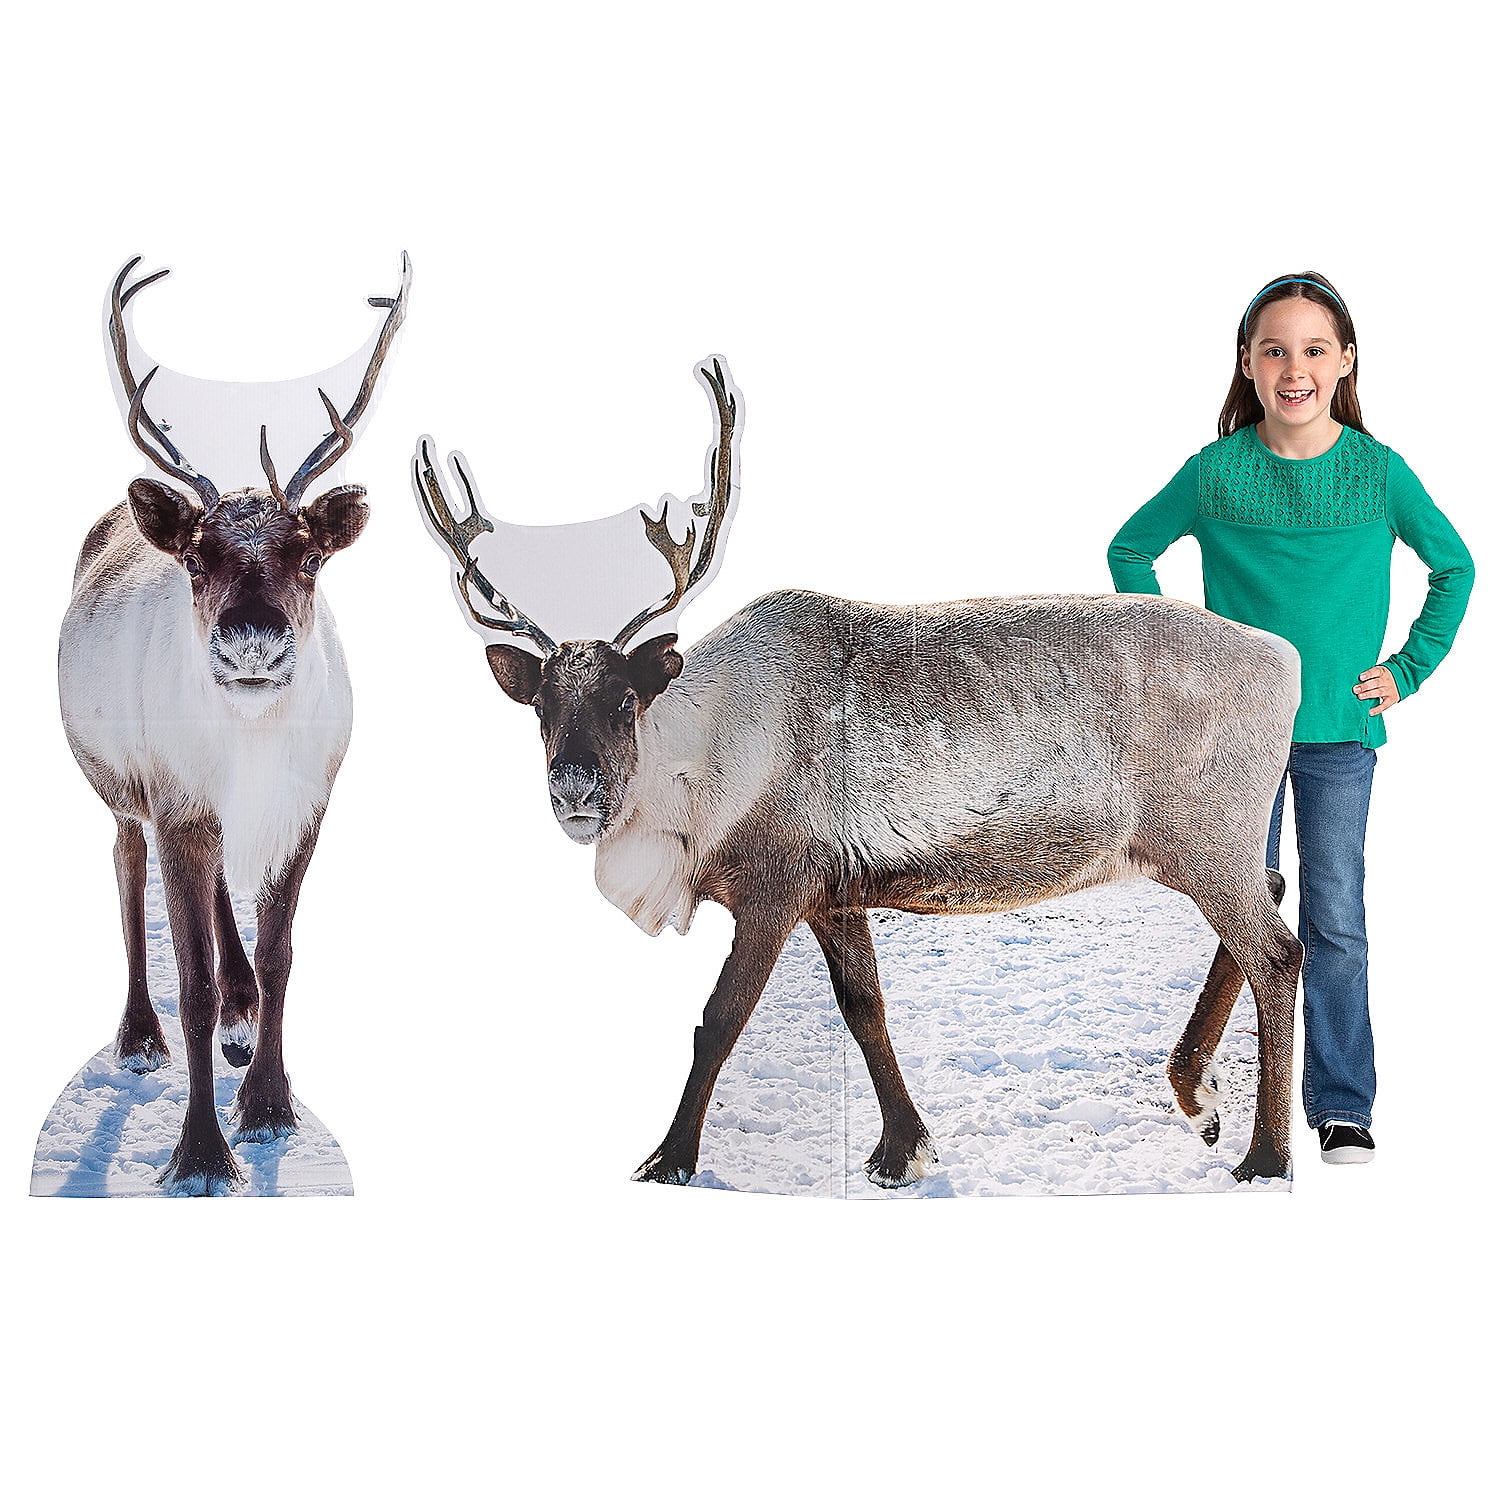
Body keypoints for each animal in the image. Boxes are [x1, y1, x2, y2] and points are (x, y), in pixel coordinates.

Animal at [58, 255, 409, 1194]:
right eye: (196, 557)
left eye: (309, 554)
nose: (253, 636)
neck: (248, 748)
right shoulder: (178, 805)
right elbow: (192, 983)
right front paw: (202, 1152)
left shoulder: (305, 807)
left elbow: (283, 957)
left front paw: (269, 1104)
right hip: (122, 790)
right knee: (125, 864)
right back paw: (140, 1034)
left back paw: (243, 1016)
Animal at [413, 356, 1302, 1188]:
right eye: (540, 707)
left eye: (627, 701)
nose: (574, 788)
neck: (700, 771)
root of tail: (1286, 658)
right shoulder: (836, 891)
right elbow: (864, 1007)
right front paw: (902, 1150)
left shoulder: (774, 883)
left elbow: (718, 1019)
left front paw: (667, 1158)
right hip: (1207, 843)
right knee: (1273, 896)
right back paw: (1199, 1099)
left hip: (1202, 838)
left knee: (1278, 953)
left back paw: (1263, 1154)